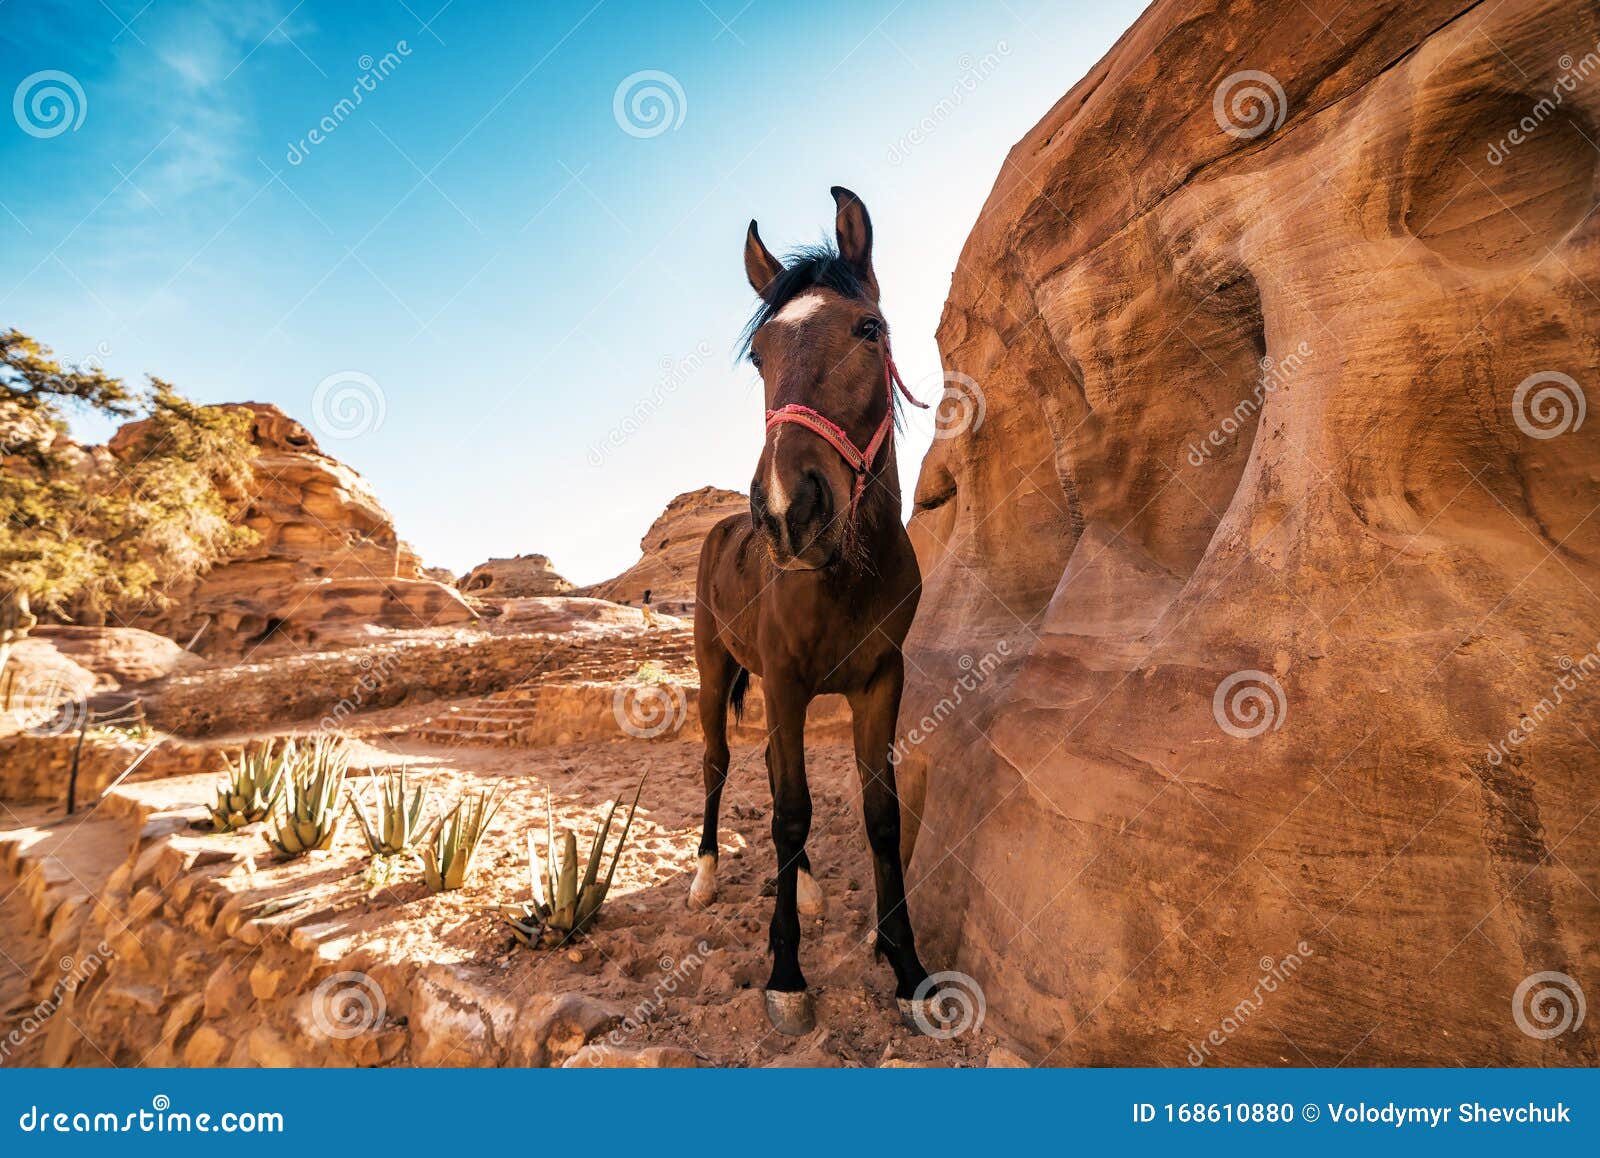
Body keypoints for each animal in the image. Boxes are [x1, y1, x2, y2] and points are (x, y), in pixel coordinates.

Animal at [689, 186, 939, 1035]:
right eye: (761, 356)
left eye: (869, 329)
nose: (786, 510)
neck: (843, 576)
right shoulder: (790, 686)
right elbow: (791, 814)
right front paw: (787, 974)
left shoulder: (880, 682)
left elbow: (880, 815)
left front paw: (908, 969)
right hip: (715, 674)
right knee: (719, 764)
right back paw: (705, 877)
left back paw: (802, 885)